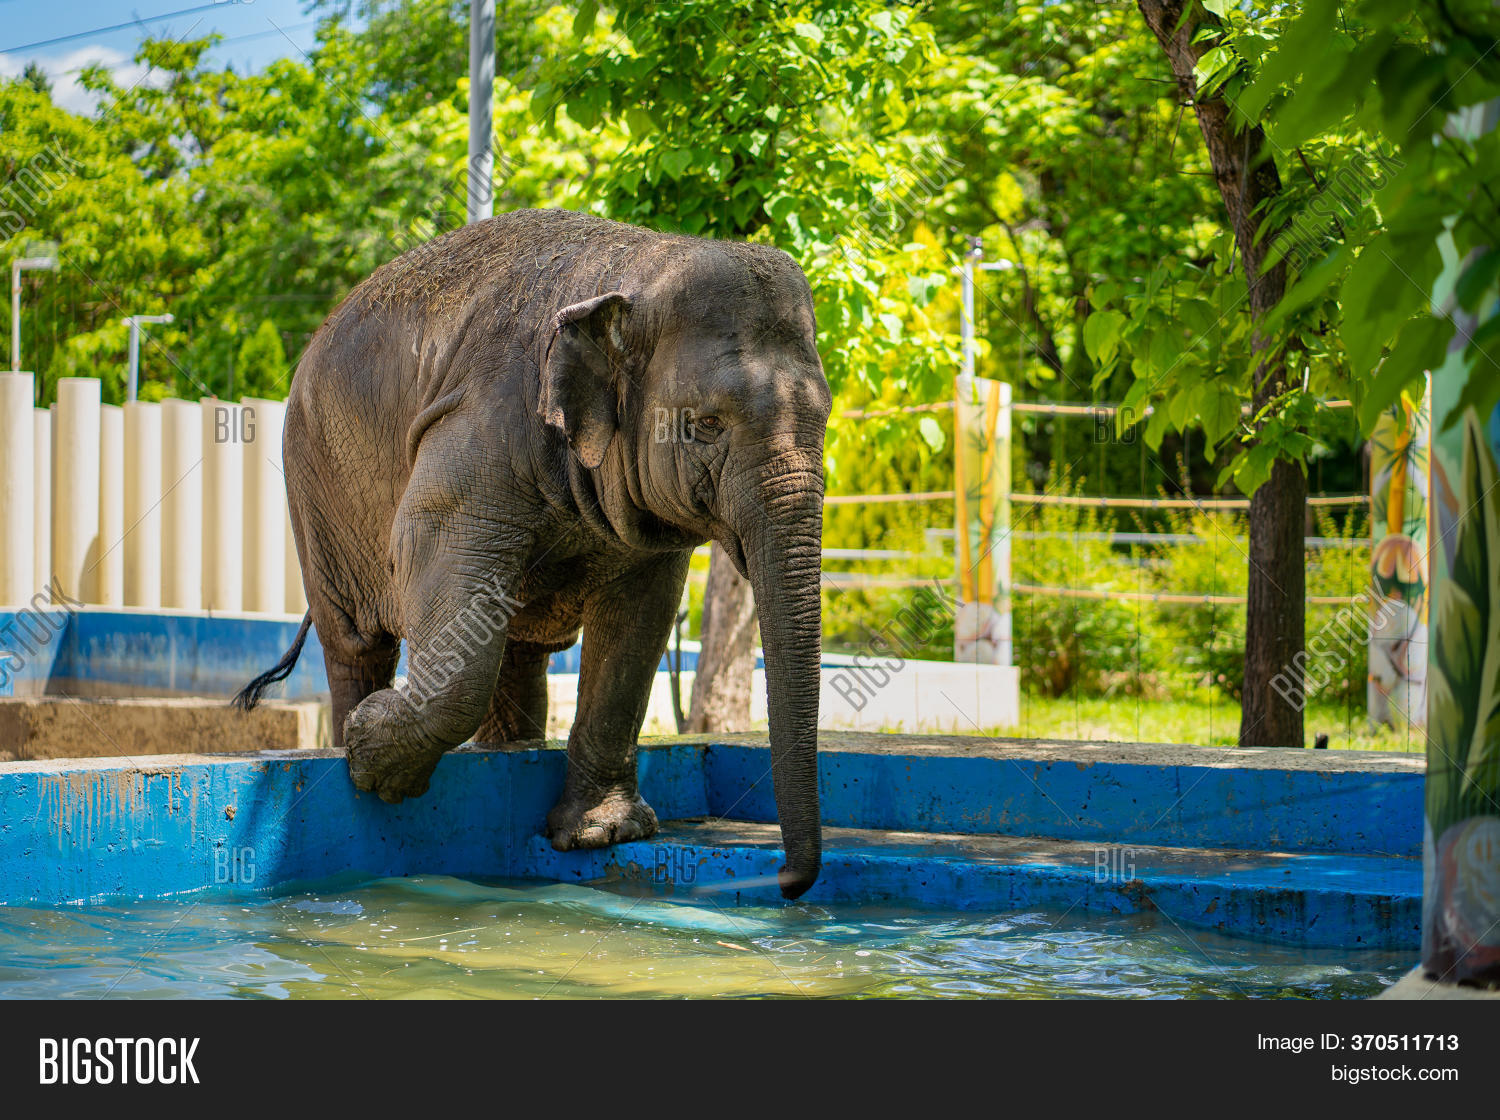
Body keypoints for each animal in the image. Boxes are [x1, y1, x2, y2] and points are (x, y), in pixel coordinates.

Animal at [235, 208, 830, 898]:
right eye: (706, 424)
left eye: (826, 417)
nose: (785, 879)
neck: (635, 266)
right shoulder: (480, 421)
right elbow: (433, 546)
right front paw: (374, 759)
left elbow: (640, 619)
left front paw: (602, 835)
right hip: (316, 481)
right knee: (356, 642)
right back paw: (355, 729)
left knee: (515, 649)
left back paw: (503, 751)